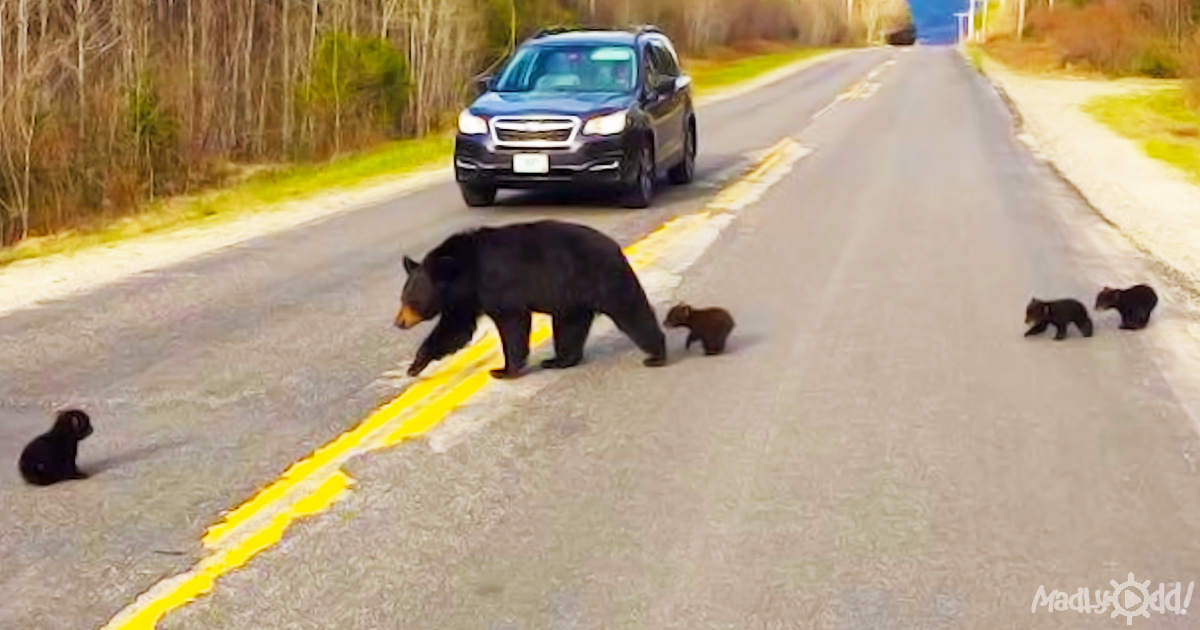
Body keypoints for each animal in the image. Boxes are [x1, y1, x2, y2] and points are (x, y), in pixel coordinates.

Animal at [395, 220, 668, 380]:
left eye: (411, 300)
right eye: (402, 298)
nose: (399, 322)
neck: (466, 269)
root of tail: (615, 247)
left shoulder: (496, 284)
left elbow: (512, 322)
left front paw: (503, 370)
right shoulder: (467, 298)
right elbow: (455, 329)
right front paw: (415, 365)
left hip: (604, 278)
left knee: (631, 311)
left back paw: (657, 355)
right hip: (572, 298)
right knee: (569, 327)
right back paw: (559, 360)